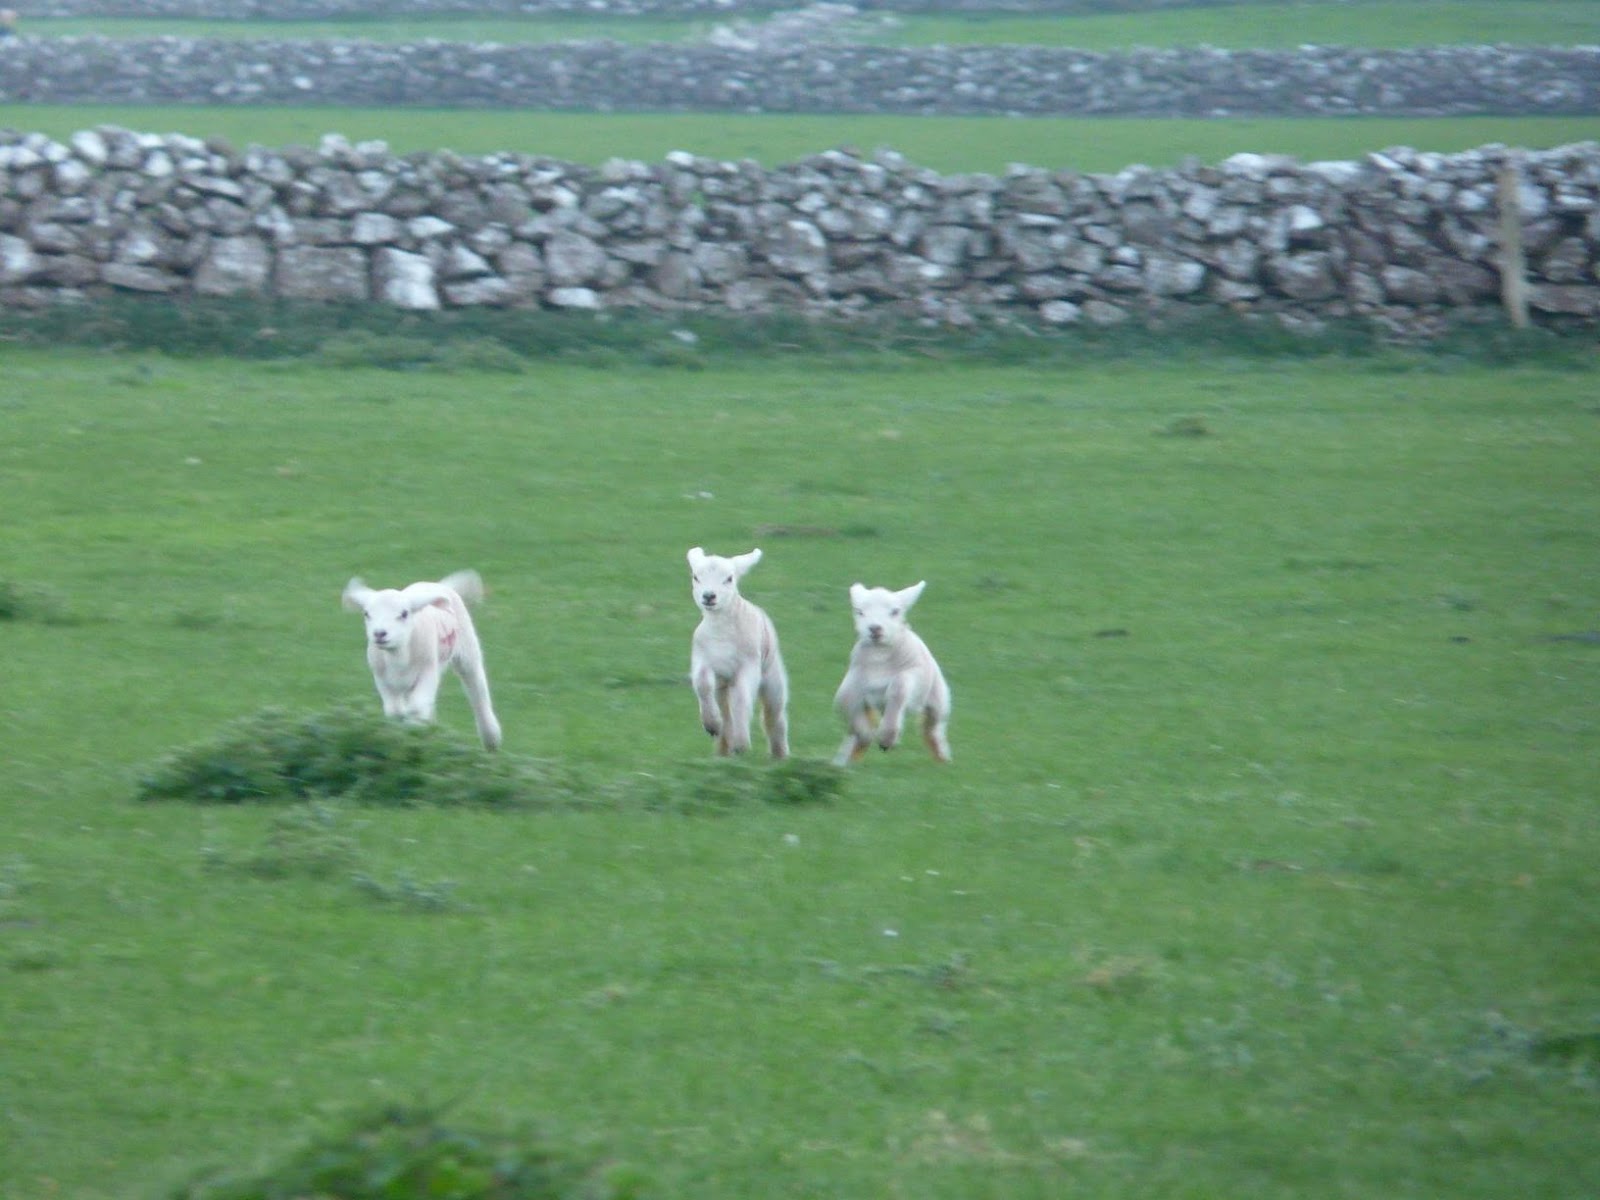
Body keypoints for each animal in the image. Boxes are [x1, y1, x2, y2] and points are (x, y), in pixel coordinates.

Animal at [341, 569, 502, 751]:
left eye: (404, 613)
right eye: (366, 614)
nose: (380, 634)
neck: (398, 656)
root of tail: (437, 584)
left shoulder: (428, 670)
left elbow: (416, 706)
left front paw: (415, 730)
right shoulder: (381, 678)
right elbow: (395, 711)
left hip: (467, 649)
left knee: (477, 689)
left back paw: (491, 739)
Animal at [686, 546, 789, 759]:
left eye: (729, 578)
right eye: (696, 577)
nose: (709, 596)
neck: (720, 630)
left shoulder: (749, 663)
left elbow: (741, 698)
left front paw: (741, 743)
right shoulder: (702, 658)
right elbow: (702, 684)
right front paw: (711, 724)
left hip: (772, 676)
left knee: (774, 716)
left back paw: (780, 754)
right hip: (722, 685)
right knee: (726, 713)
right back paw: (722, 748)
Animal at [832, 580, 951, 767]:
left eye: (895, 611)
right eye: (860, 611)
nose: (874, 629)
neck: (879, 658)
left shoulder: (912, 673)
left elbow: (898, 689)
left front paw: (887, 738)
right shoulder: (854, 678)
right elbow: (843, 699)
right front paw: (865, 734)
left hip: (937, 698)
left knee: (933, 728)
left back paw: (942, 759)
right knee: (853, 738)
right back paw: (846, 759)